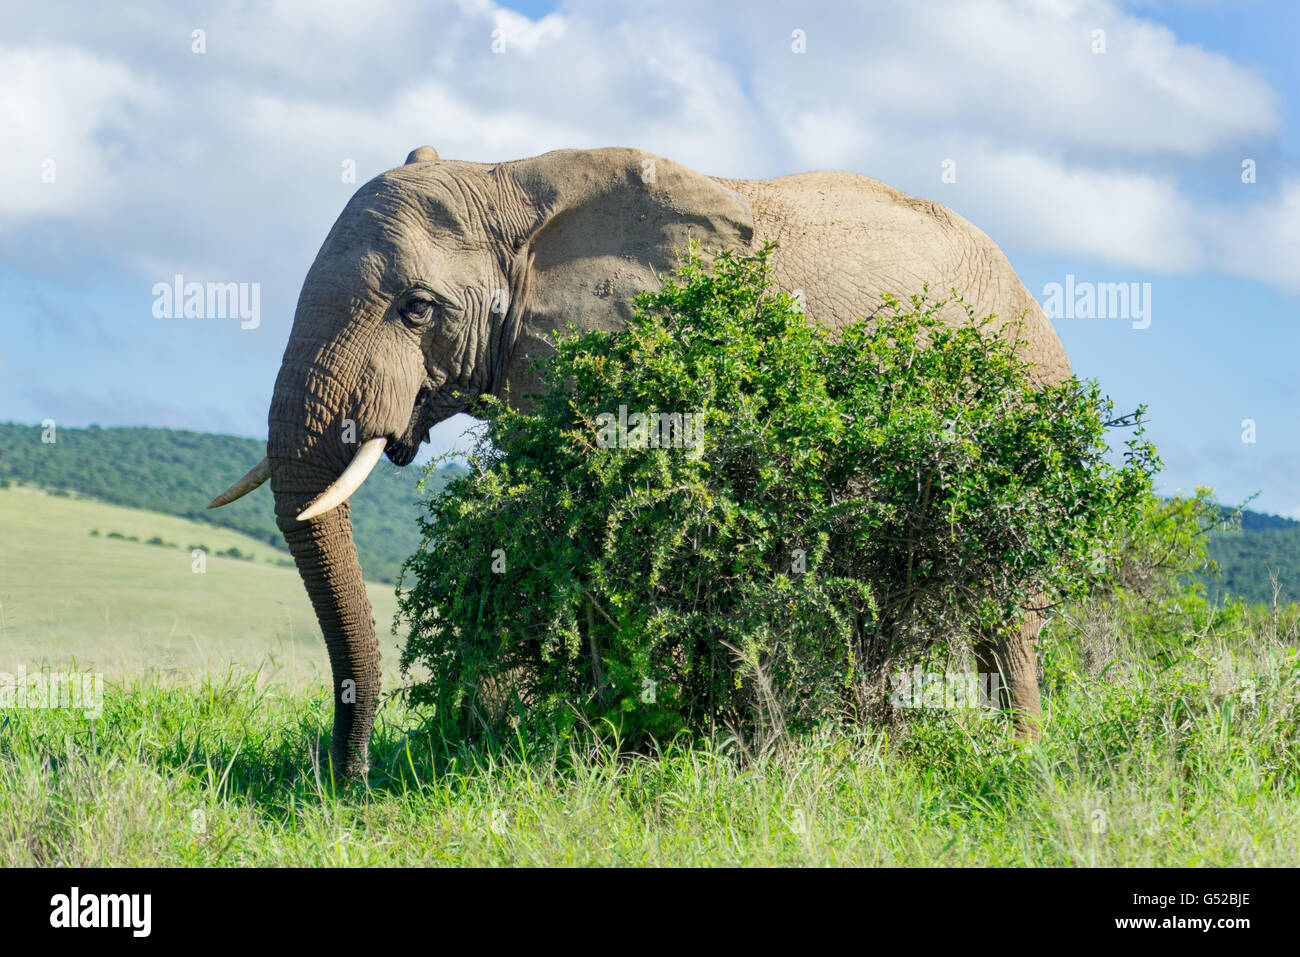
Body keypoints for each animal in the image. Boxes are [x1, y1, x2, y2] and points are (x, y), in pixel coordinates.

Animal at [210, 145, 1069, 777]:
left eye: (416, 309)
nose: (344, 778)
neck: (508, 179)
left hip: (1021, 397)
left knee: (1005, 608)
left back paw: (1019, 763)